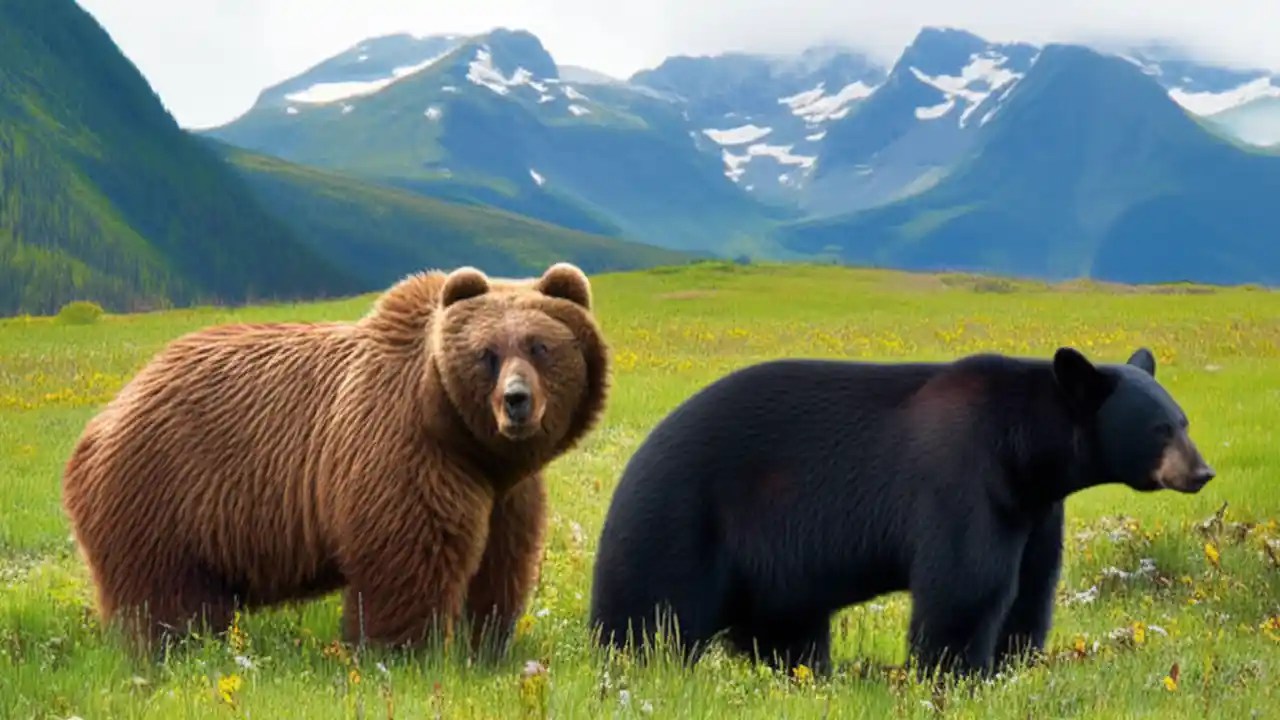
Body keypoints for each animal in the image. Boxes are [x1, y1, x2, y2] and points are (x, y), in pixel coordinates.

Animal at [61, 262, 610, 656]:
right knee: (163, 598)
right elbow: (408, 557)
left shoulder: (503, 492)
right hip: (161, 493)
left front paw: (486, 646)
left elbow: (499, 563)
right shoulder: (405, 451)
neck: (464, 438)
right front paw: (406, 651)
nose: (517, 401)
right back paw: (174, 648)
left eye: (540, 347)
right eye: (487, 353)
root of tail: (108, 412)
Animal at [588, 346, 1214, 679]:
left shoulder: (1036, 509)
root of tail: (636, 461)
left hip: (773, 570)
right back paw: (632, 659)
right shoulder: (965, 481)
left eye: (1184, 420)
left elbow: (1032, 589)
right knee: (651, 607)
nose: (1202, 472)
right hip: (682, 519)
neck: (1025, 452)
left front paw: (1013, 665)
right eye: (1160, 429)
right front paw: (957, 674)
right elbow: (967, 585)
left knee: (786, 626)